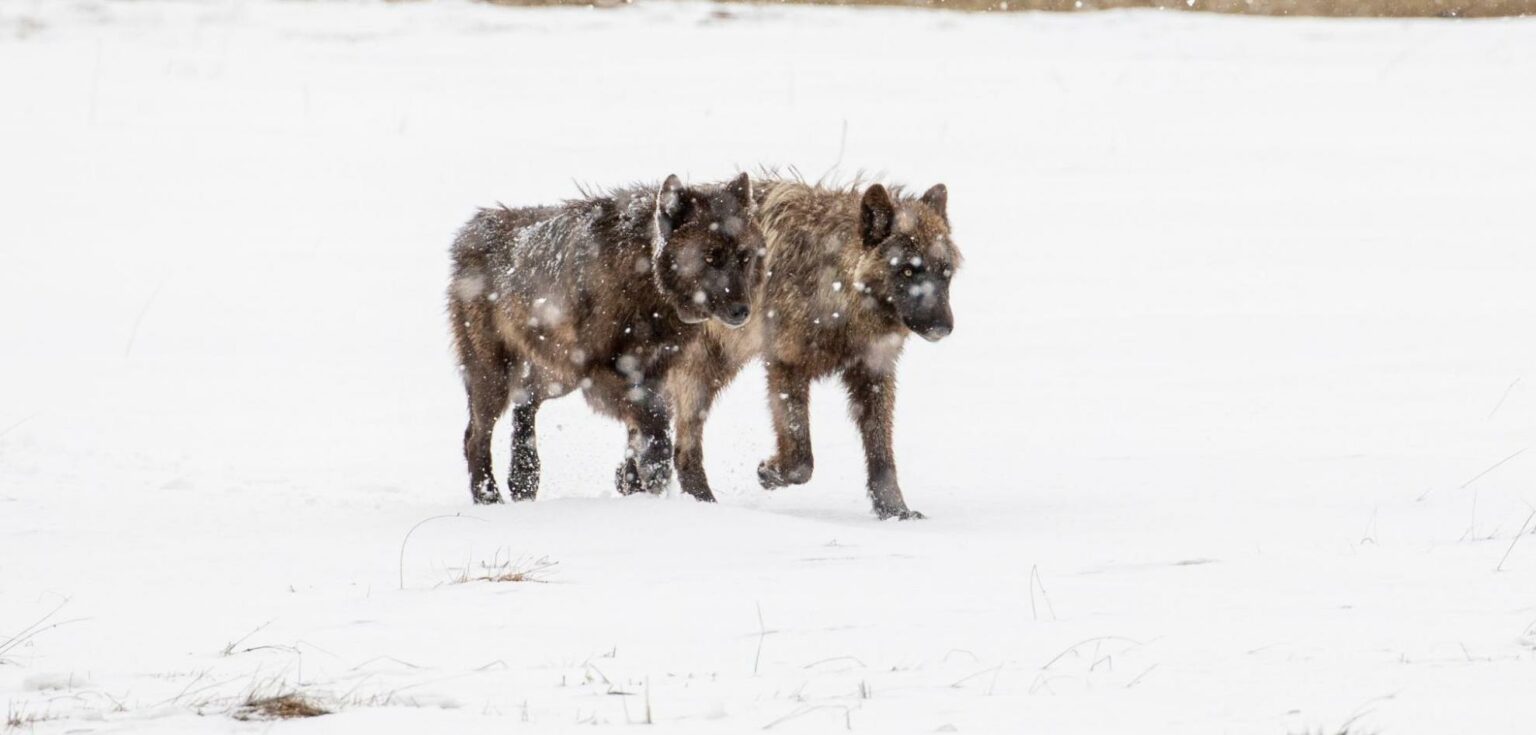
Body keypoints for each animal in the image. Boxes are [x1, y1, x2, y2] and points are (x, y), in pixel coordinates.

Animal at [449, 173, 762, 504]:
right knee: (475, 436)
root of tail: (472, 229)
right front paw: (655, 472)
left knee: (526, 403)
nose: (742, 311)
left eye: (744, 258)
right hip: (494, 378)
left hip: (557, 375)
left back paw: (524, 480)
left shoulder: (654, 373)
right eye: (711, 258)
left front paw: (634, 485)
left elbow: (639, 429)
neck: (644, 276)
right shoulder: (603, 372)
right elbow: (653, 421)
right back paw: (489, 497)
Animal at [667, 179, 959, 519]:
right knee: (683, 450)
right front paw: (769, 472)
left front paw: (896, 513)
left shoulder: (873, 374)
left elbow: (882, 456)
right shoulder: (786, 366)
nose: (943, 327)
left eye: (945, 272)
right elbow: (801, 461)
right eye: (909, 271)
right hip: (700, 375)